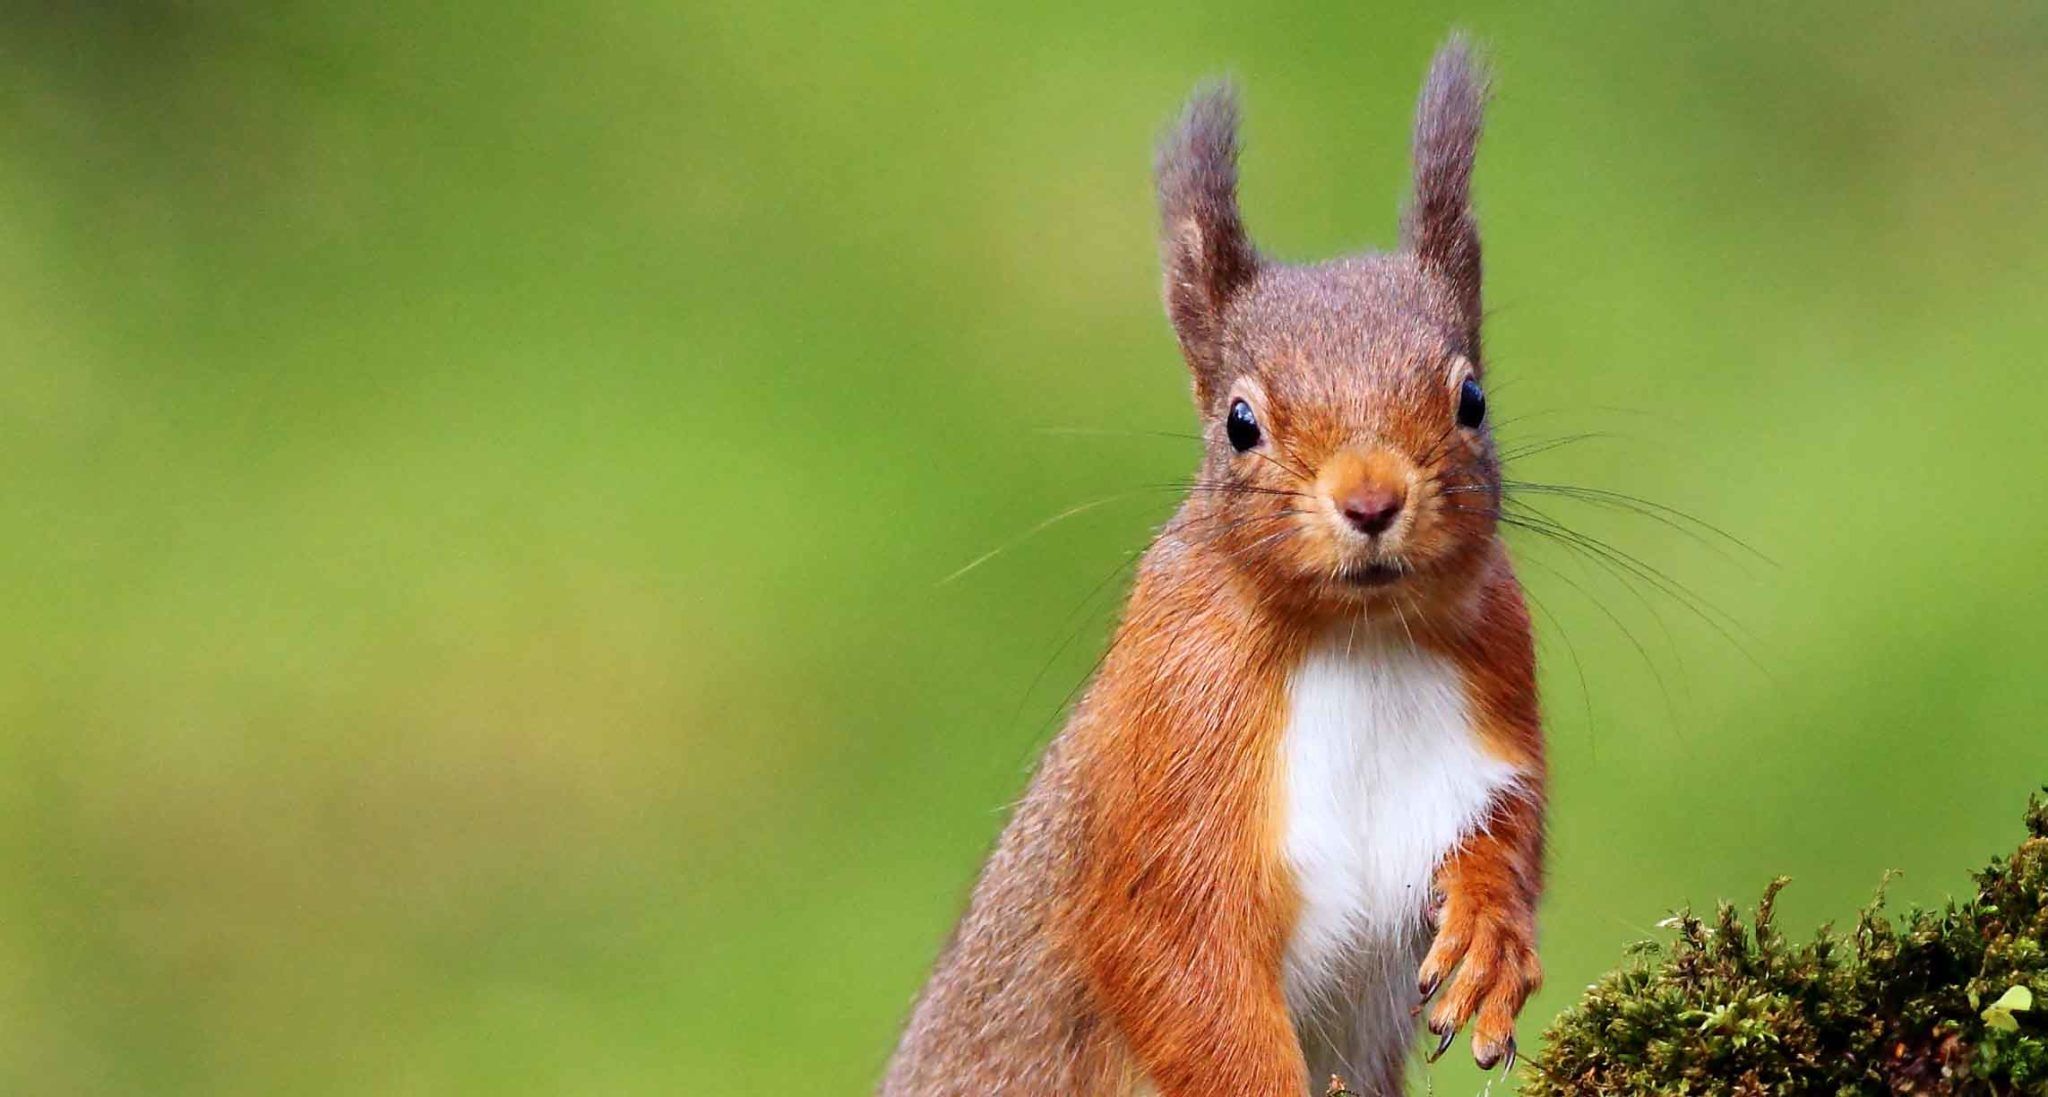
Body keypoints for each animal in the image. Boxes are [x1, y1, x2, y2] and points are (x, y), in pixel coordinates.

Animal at [883, 37, 1544, 1097]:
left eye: (1471, 399)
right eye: (1240, 422)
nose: (1371, 501)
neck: (1358, 640)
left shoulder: (1498, 678)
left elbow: (1511, 837)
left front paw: (1490, 943)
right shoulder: (1173, 741)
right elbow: (1176, 961)